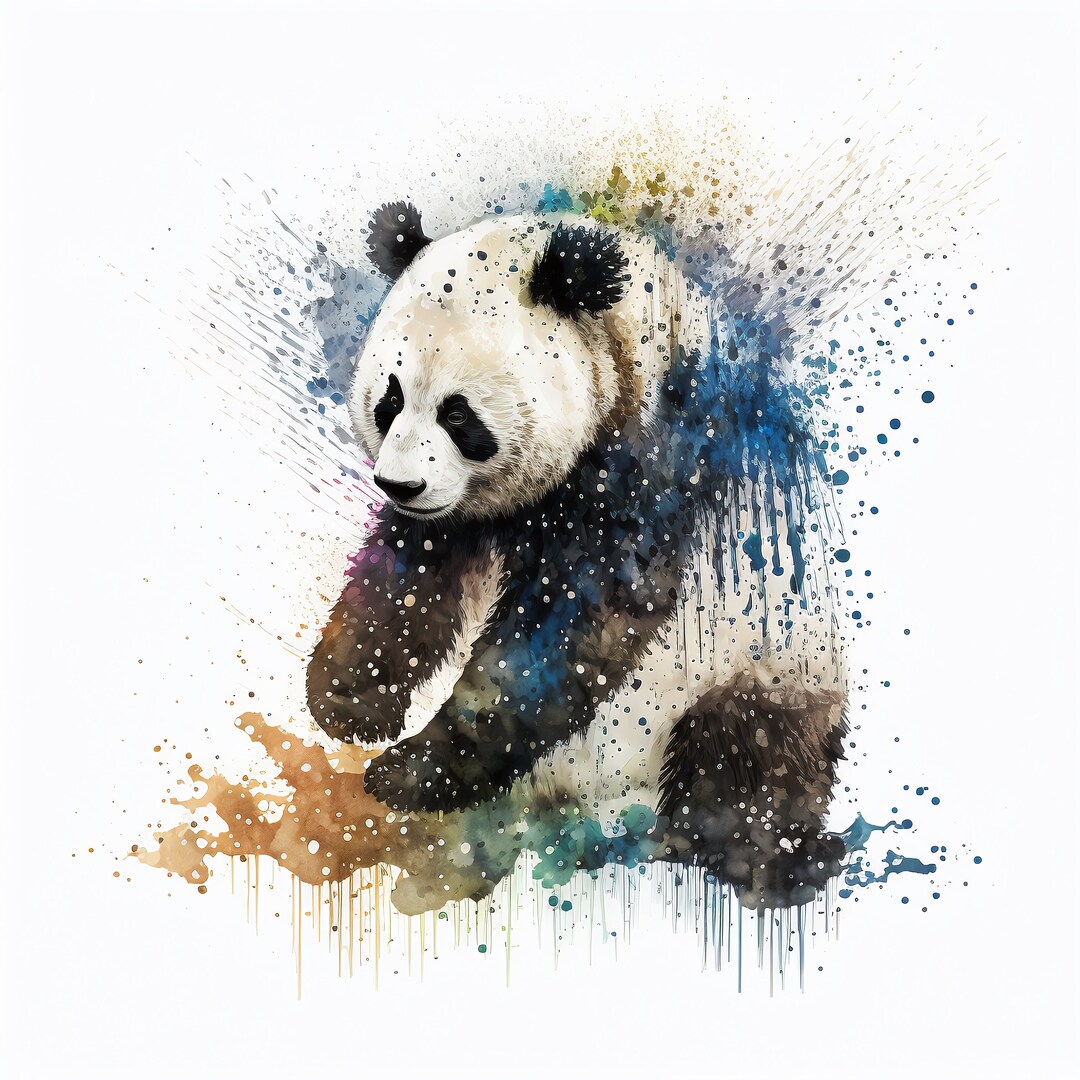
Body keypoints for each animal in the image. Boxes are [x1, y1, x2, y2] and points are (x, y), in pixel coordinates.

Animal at [307, 201, 848, 908]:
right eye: (389, 399)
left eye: (459, 416)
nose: (400, 485)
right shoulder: (452, 517)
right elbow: (409, 577)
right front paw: (345, 701)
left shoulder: (660, 461)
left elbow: (571, 627)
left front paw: (408, 771)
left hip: (764, 657)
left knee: (749, 757)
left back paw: (763, 859)